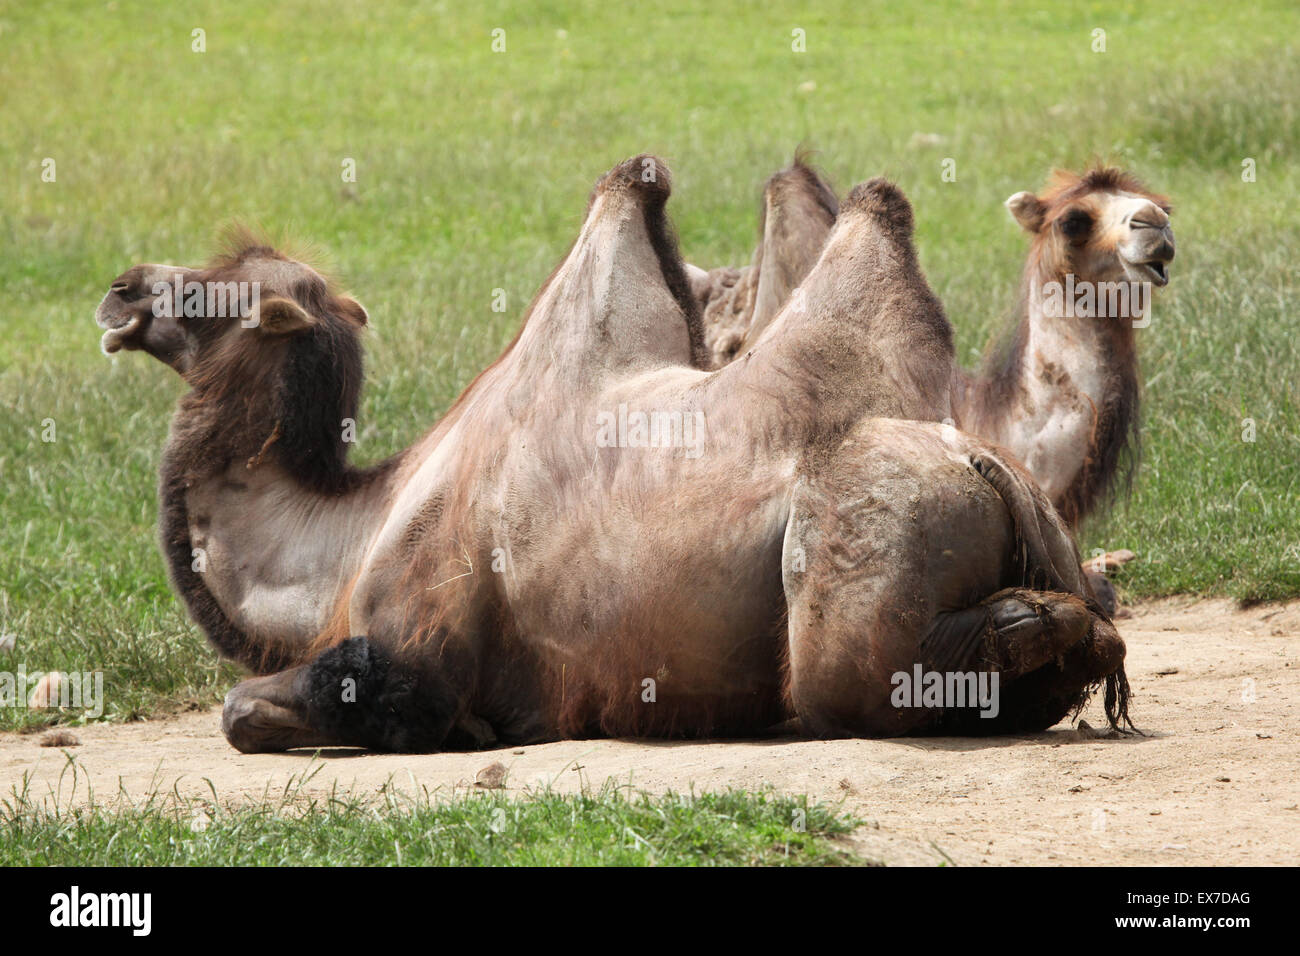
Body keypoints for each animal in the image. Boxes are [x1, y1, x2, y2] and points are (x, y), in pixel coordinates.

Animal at [96, 156, 1128, 753]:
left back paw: (1030, 628)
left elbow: (248, 710)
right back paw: (1066, 625)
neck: (341, 548)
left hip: (858, 578)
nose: (123, 288)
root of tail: (992, 468)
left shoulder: (414, 651)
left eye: (217, 292)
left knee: (861, 679)